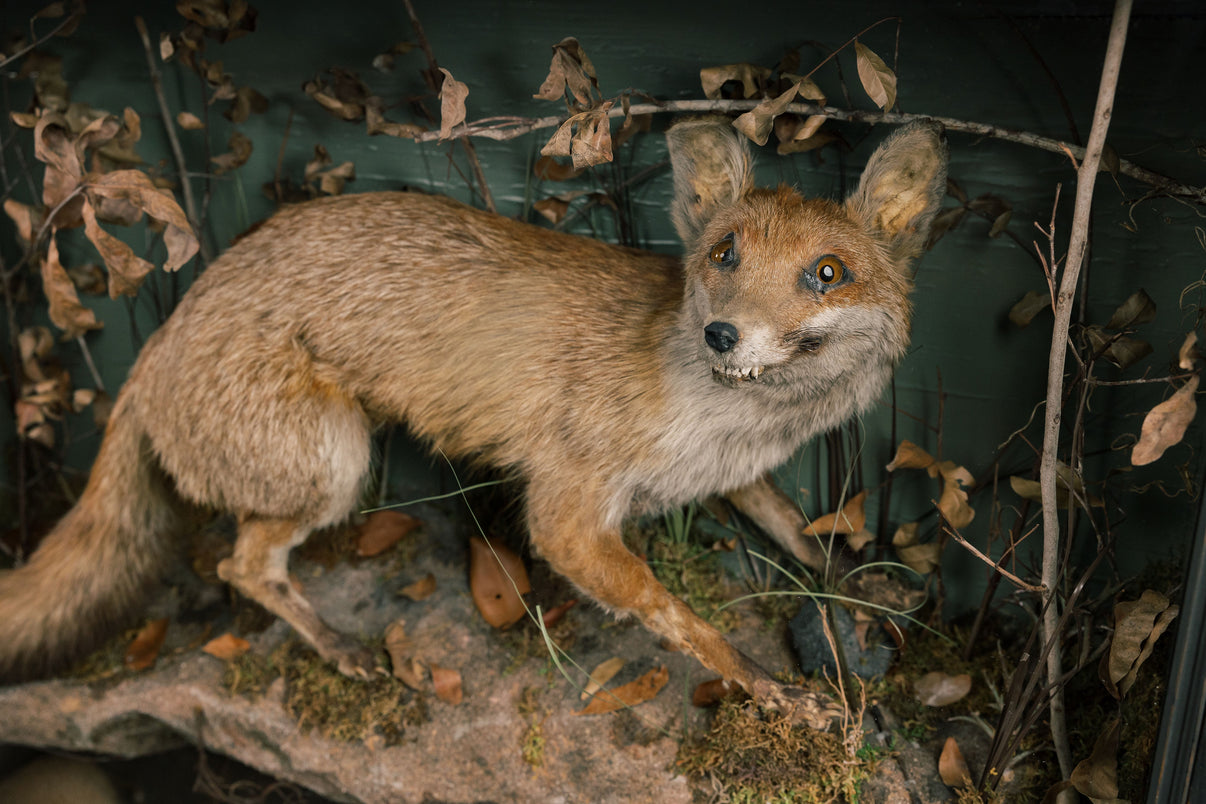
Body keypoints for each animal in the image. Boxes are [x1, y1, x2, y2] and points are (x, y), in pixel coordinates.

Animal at [0, 118, 946, 715]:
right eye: (724, 254)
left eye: (827, 273)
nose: (722, 332)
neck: (720, 419)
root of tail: (162, 332)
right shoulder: (566, 513)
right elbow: (683, 620)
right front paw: (772, 688)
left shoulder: (734, 476)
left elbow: (799, 535)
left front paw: (867, 586)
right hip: (334, 463)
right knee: (241, 566)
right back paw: (337, 646)